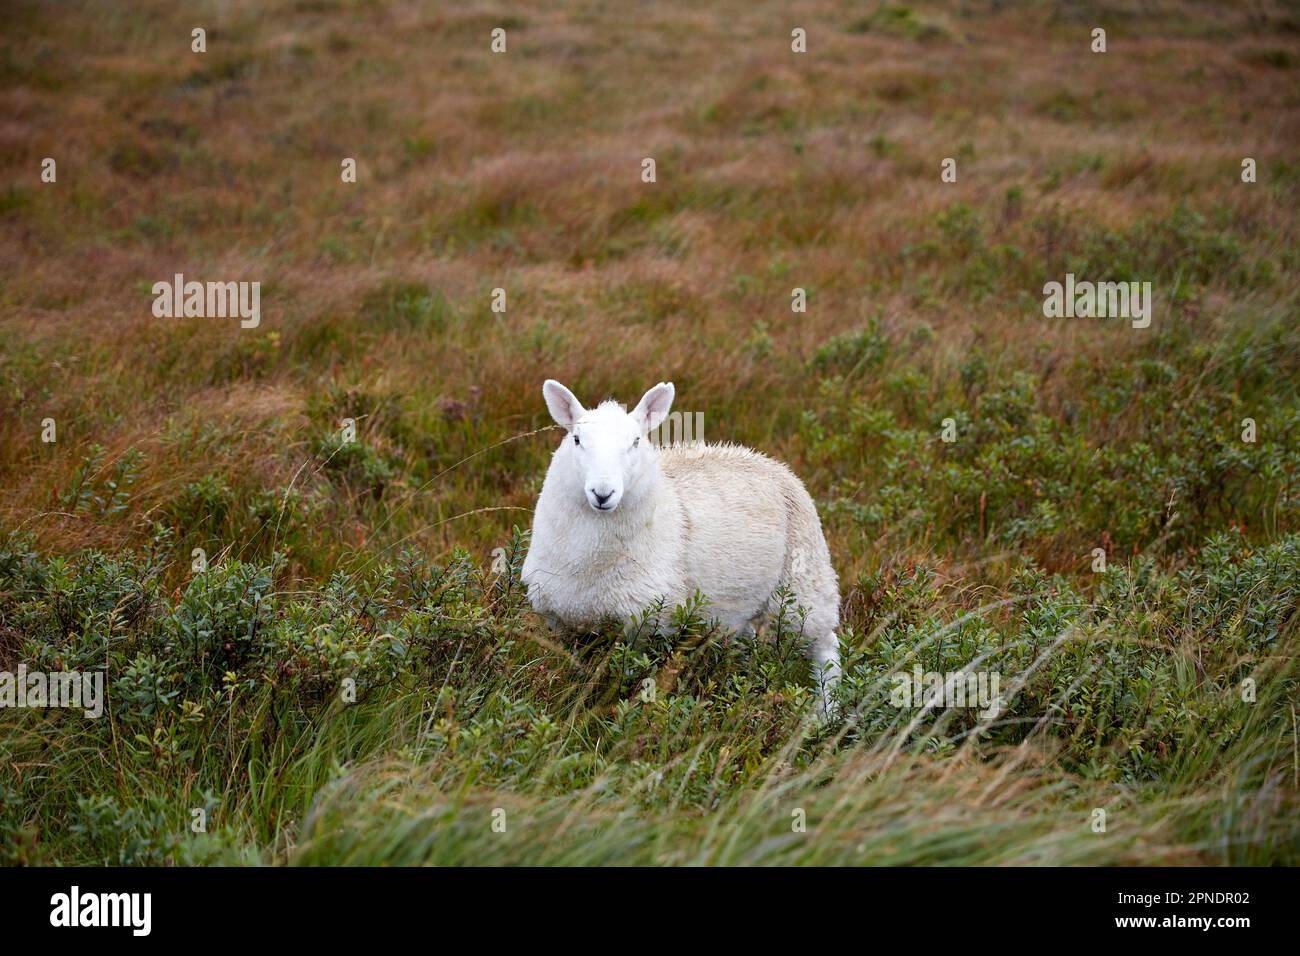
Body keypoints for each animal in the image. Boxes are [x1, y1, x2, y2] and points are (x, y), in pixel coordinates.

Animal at [521, 379, 841, 713]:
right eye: (577, 440)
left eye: (636, 441)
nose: (602, 493)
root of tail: (768, 461)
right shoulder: (561, 620)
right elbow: (578, 672)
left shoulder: (649, 622)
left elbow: (633, 676)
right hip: (735, 606)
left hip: (804, 585)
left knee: (826, 648)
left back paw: (825, 712)